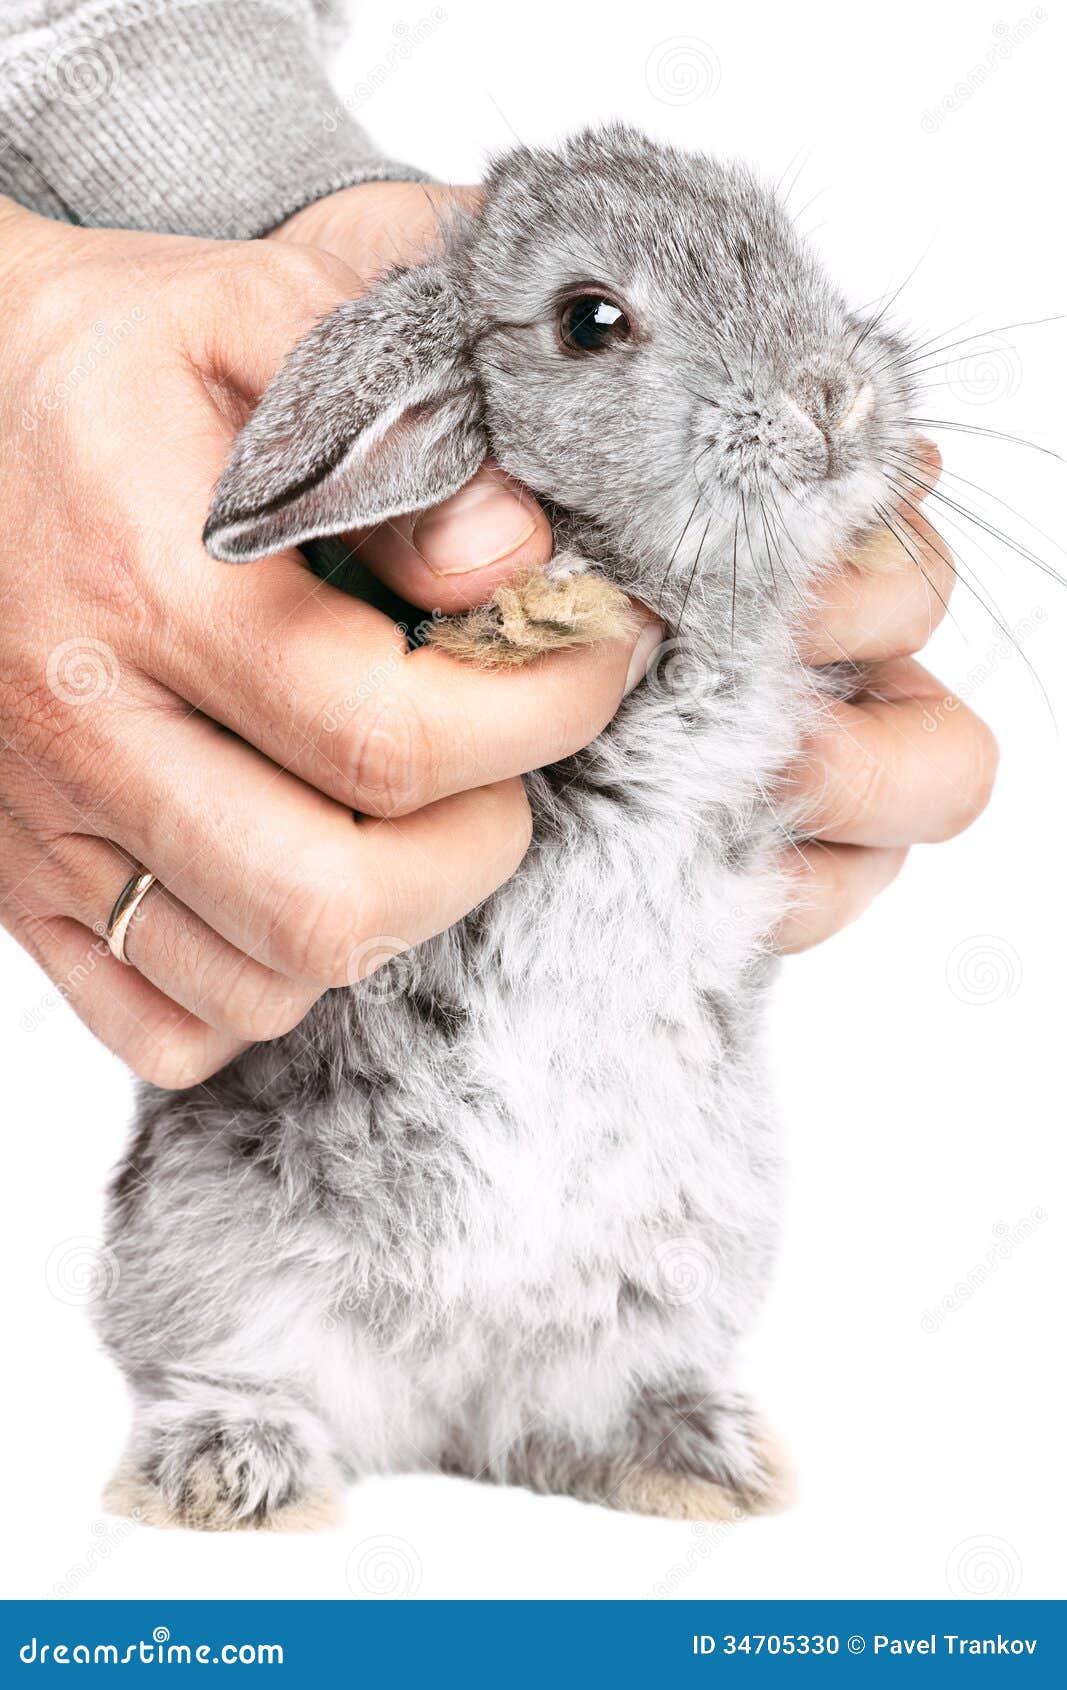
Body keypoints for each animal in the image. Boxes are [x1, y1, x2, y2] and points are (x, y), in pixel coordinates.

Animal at [96, 124, 920, 1531]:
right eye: (590, 321)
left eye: (783, 246)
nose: (832, 397)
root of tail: (446, 1383)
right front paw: (544, 607)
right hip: (205, 1250)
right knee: (231, 1373)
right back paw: (227, 1476)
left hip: (674, 1266)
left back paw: (695, 1459)